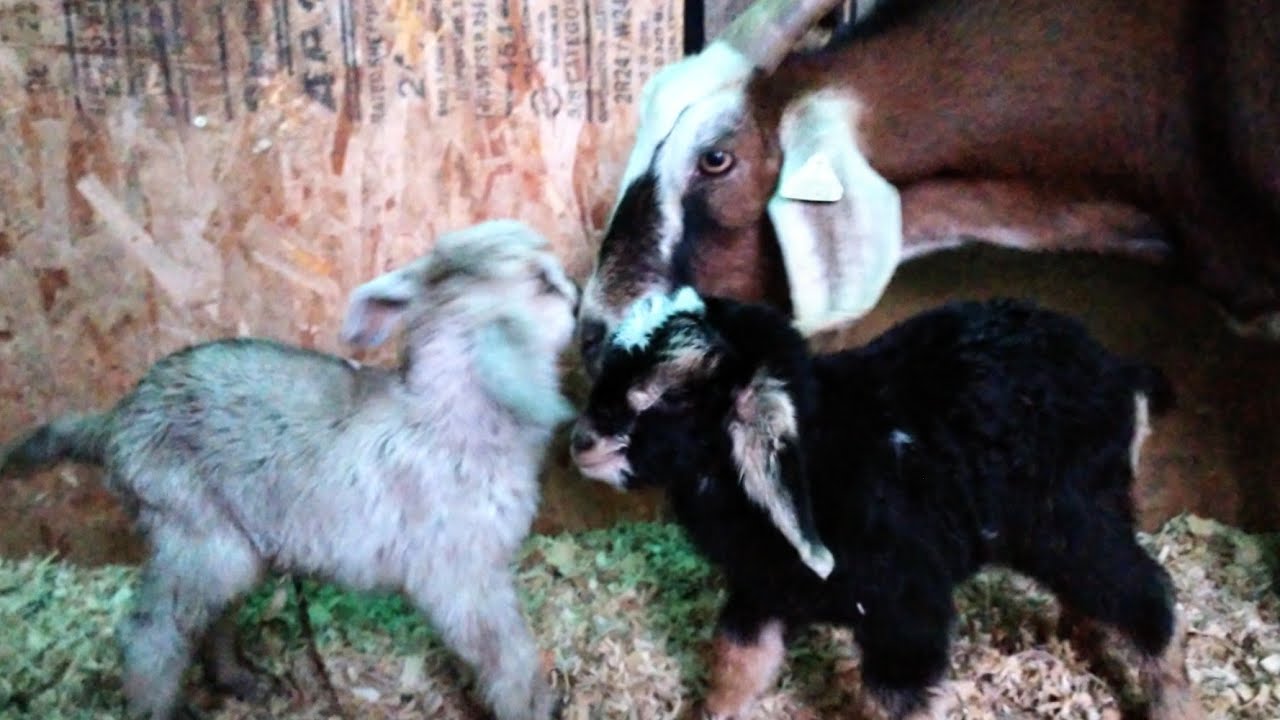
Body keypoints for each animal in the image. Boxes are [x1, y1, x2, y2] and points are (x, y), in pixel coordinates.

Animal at [0, 220, 578, 720]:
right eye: (541, 283)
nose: (575, 293)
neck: (449, 417)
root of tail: (114, 423)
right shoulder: (463, 574)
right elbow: (507, 655)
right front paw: (535, 708)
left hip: (231, 548)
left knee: (210, 620)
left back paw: (244, 681)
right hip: (194, 532)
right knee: (151, 633)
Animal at [570, 287, 1201, 720]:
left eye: (669, 396)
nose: (580, 442)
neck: (822, 452)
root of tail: (1121, 373)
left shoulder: (905, 603)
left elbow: (893, 695)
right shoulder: (764, 586)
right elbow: (737, 659)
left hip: (1068, 518)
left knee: (1145, 595)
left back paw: (1171, 702)